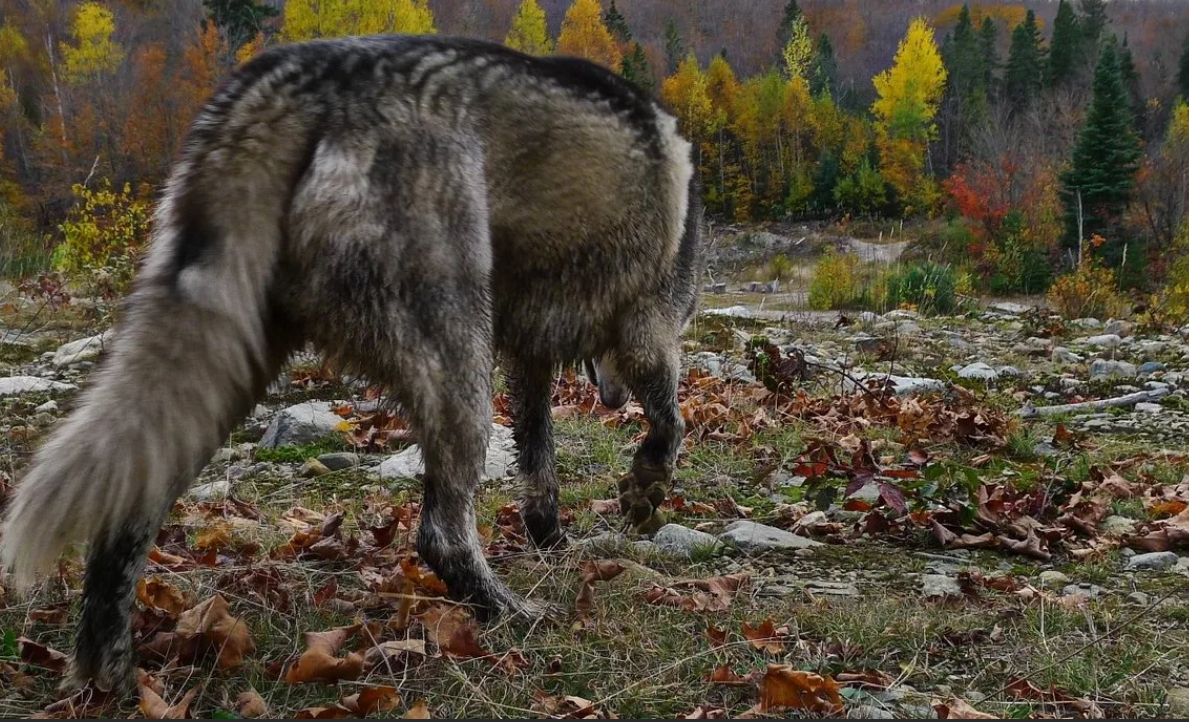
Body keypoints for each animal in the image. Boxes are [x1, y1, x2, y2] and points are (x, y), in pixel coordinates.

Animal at [0, 35, 696, 695]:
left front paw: (552, 538)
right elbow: (670, 420)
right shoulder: (650, 329)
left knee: (125, 515)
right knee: (440, 533)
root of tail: (298, 80)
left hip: (217, 369)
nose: (609, 401)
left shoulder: (530, 359)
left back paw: (109, 675)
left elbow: (540, 464)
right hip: (460, 370)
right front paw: (644, 489)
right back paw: (509, 612)